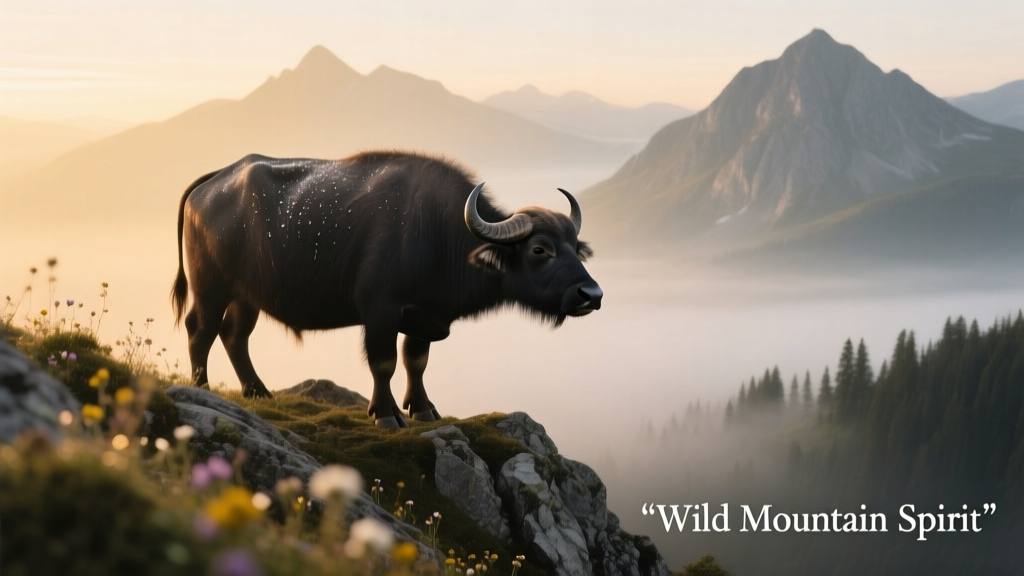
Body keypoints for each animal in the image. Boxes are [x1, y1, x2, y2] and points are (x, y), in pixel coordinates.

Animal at [172, 152, 602, 427]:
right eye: (539, 249)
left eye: (575, 247)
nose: (592, 296)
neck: (440, 233)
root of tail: (212, 182)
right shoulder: (380, 312)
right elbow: (385, 363)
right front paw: (386, 414)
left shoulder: (423, 314)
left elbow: (416, 361)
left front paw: (423, 409)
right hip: (211, 287)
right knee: (200, 331)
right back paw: (203, 388)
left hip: (247, 295)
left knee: (234, 335)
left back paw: (258, 391)